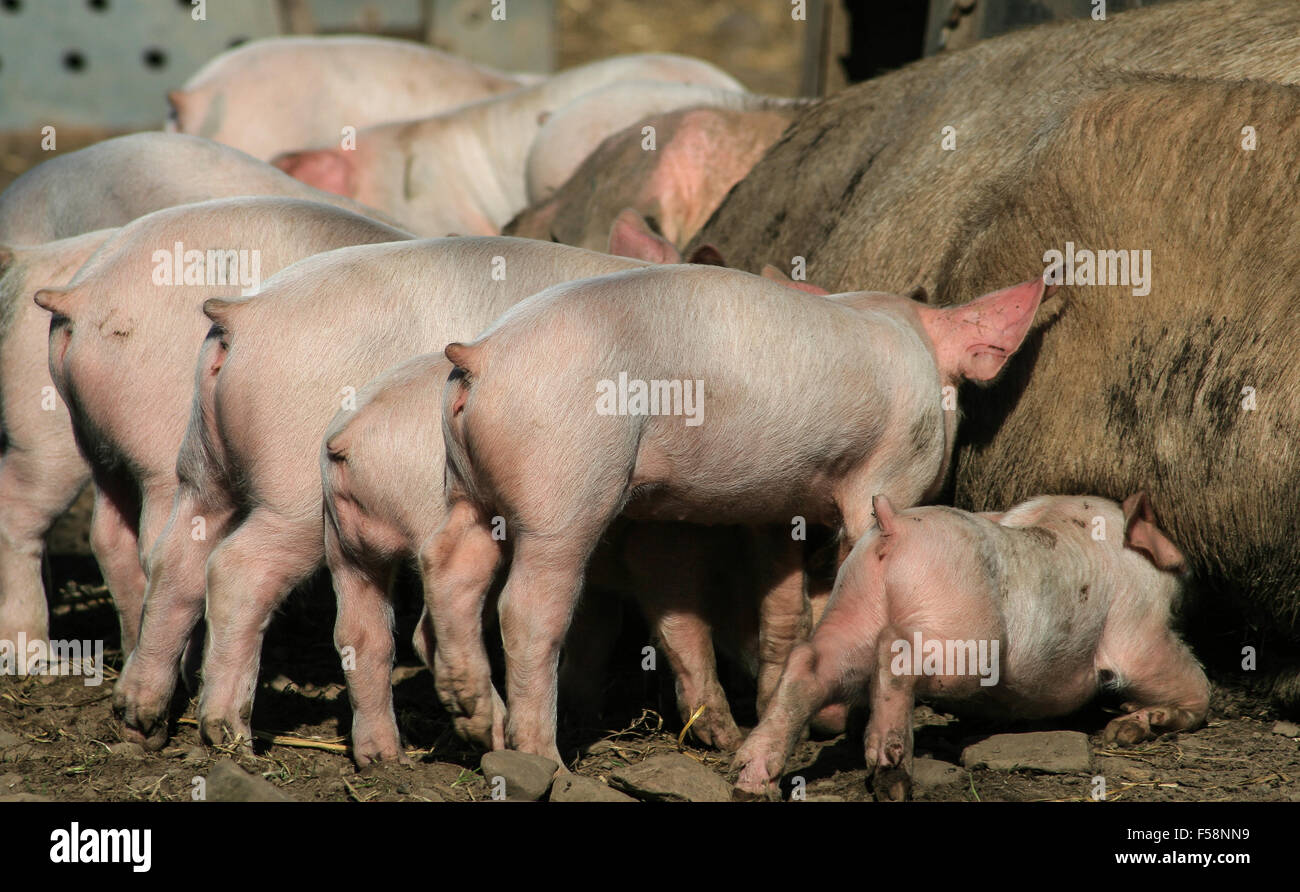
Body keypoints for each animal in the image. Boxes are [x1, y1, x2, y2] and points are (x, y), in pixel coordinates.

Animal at [0, 132, 402, 644]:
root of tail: (74, 292)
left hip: (95, 440)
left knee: (110, 537)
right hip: (75, 440)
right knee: (28, 515)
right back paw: (37, 651)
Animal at [438, 265, 1046, 760]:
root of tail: (481, 358)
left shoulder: (774, 505)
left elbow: (783, 607)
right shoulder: (889, 473)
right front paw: (835, 724)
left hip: (465, 489)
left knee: (454, 572)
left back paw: (477, 722)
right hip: (564, 483)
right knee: (525, 608)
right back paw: (546, 761)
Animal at [734, 493, 1210, 800]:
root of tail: (893, 526)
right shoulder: (1139, 622)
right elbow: (1185, 680)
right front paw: (1125, 728)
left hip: (852, 605)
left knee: (809, 663)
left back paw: (750, 784)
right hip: (965, 635)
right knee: (894, 651)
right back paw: (892, 781)